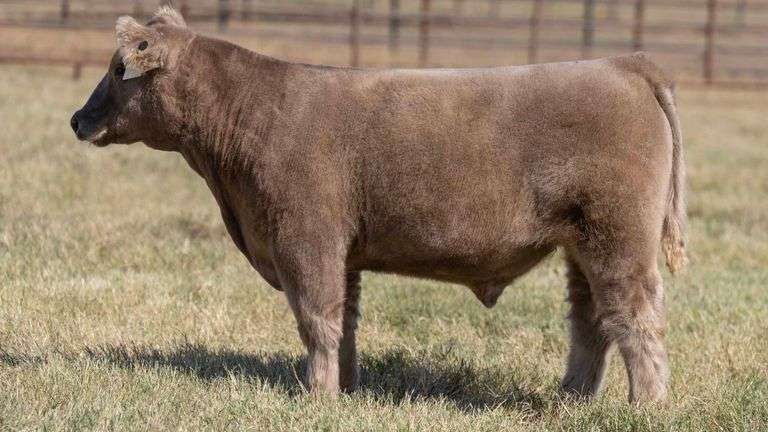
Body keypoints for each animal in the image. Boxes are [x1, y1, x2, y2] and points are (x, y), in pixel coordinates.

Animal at [70, 6, 686, 404]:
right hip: (582, 246)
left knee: (637, 318)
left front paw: (316, 399)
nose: (78, 118)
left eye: (116, 69)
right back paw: (572, 399)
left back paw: (647, 407)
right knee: (592, 322)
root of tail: (625, 64)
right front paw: (343, 390)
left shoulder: (307, 238)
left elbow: (316, 319)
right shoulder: (341, 252)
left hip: (618, 238)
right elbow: (344, 321)